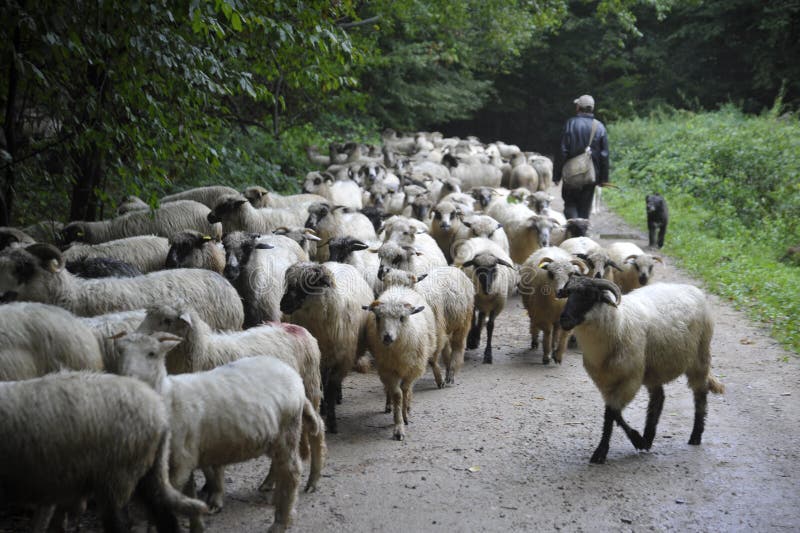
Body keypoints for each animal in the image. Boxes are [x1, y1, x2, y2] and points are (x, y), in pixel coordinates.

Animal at [116, 332, 320, 533]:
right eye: (120, 352)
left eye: (152, 353)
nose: (129, 379)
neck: (169, 396)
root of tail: (293, 375)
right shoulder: (185, 458)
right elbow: (189, 493)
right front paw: (197, 524)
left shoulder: (181, 460)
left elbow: (164, 502)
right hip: (273, 438)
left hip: (288, 430)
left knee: (292, 471)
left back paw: (280, 521)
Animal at [135, 305, 326, 495]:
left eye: (167, 320)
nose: (138, 336)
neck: (204, 353)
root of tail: (297, 328)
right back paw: (269, 481)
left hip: (310, 387)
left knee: (317, 429)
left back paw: (312, 481)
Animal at [280, 261, 373, 433]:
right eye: (289, 284)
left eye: (307, 285)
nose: (283, 304)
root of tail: (340, 263)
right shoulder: (318, 359)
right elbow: (322, 383)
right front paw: (324, 408)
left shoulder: (342, 360)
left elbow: (332, 386)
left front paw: (332, 421)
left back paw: (338, 397)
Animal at [362, 287, 437, 440]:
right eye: (378, 318)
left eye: (402, 318)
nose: (387, 337)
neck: (396, 350)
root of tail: (399, 288)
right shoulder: (388, 370)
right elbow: (397, 394)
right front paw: (398, 426)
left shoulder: (413, 370)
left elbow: (406, 389)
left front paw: (405, 414)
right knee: (389, 389)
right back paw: (388, 404)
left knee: (408, 390)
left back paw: (408, 406)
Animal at [557, 276, 725, 463]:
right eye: (568, 293)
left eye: (588, 295)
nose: (564, 319)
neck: (619, 324)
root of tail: (691, 288)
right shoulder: (606, 382)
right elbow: (612, 414)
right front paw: (635, 442)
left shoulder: (631, 379)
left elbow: (611, 413)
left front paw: (609, 449)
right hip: (653, 369)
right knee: (658, 398)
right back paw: (649, 437)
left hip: (699, 357)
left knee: (700, 394)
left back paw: (695, 436)